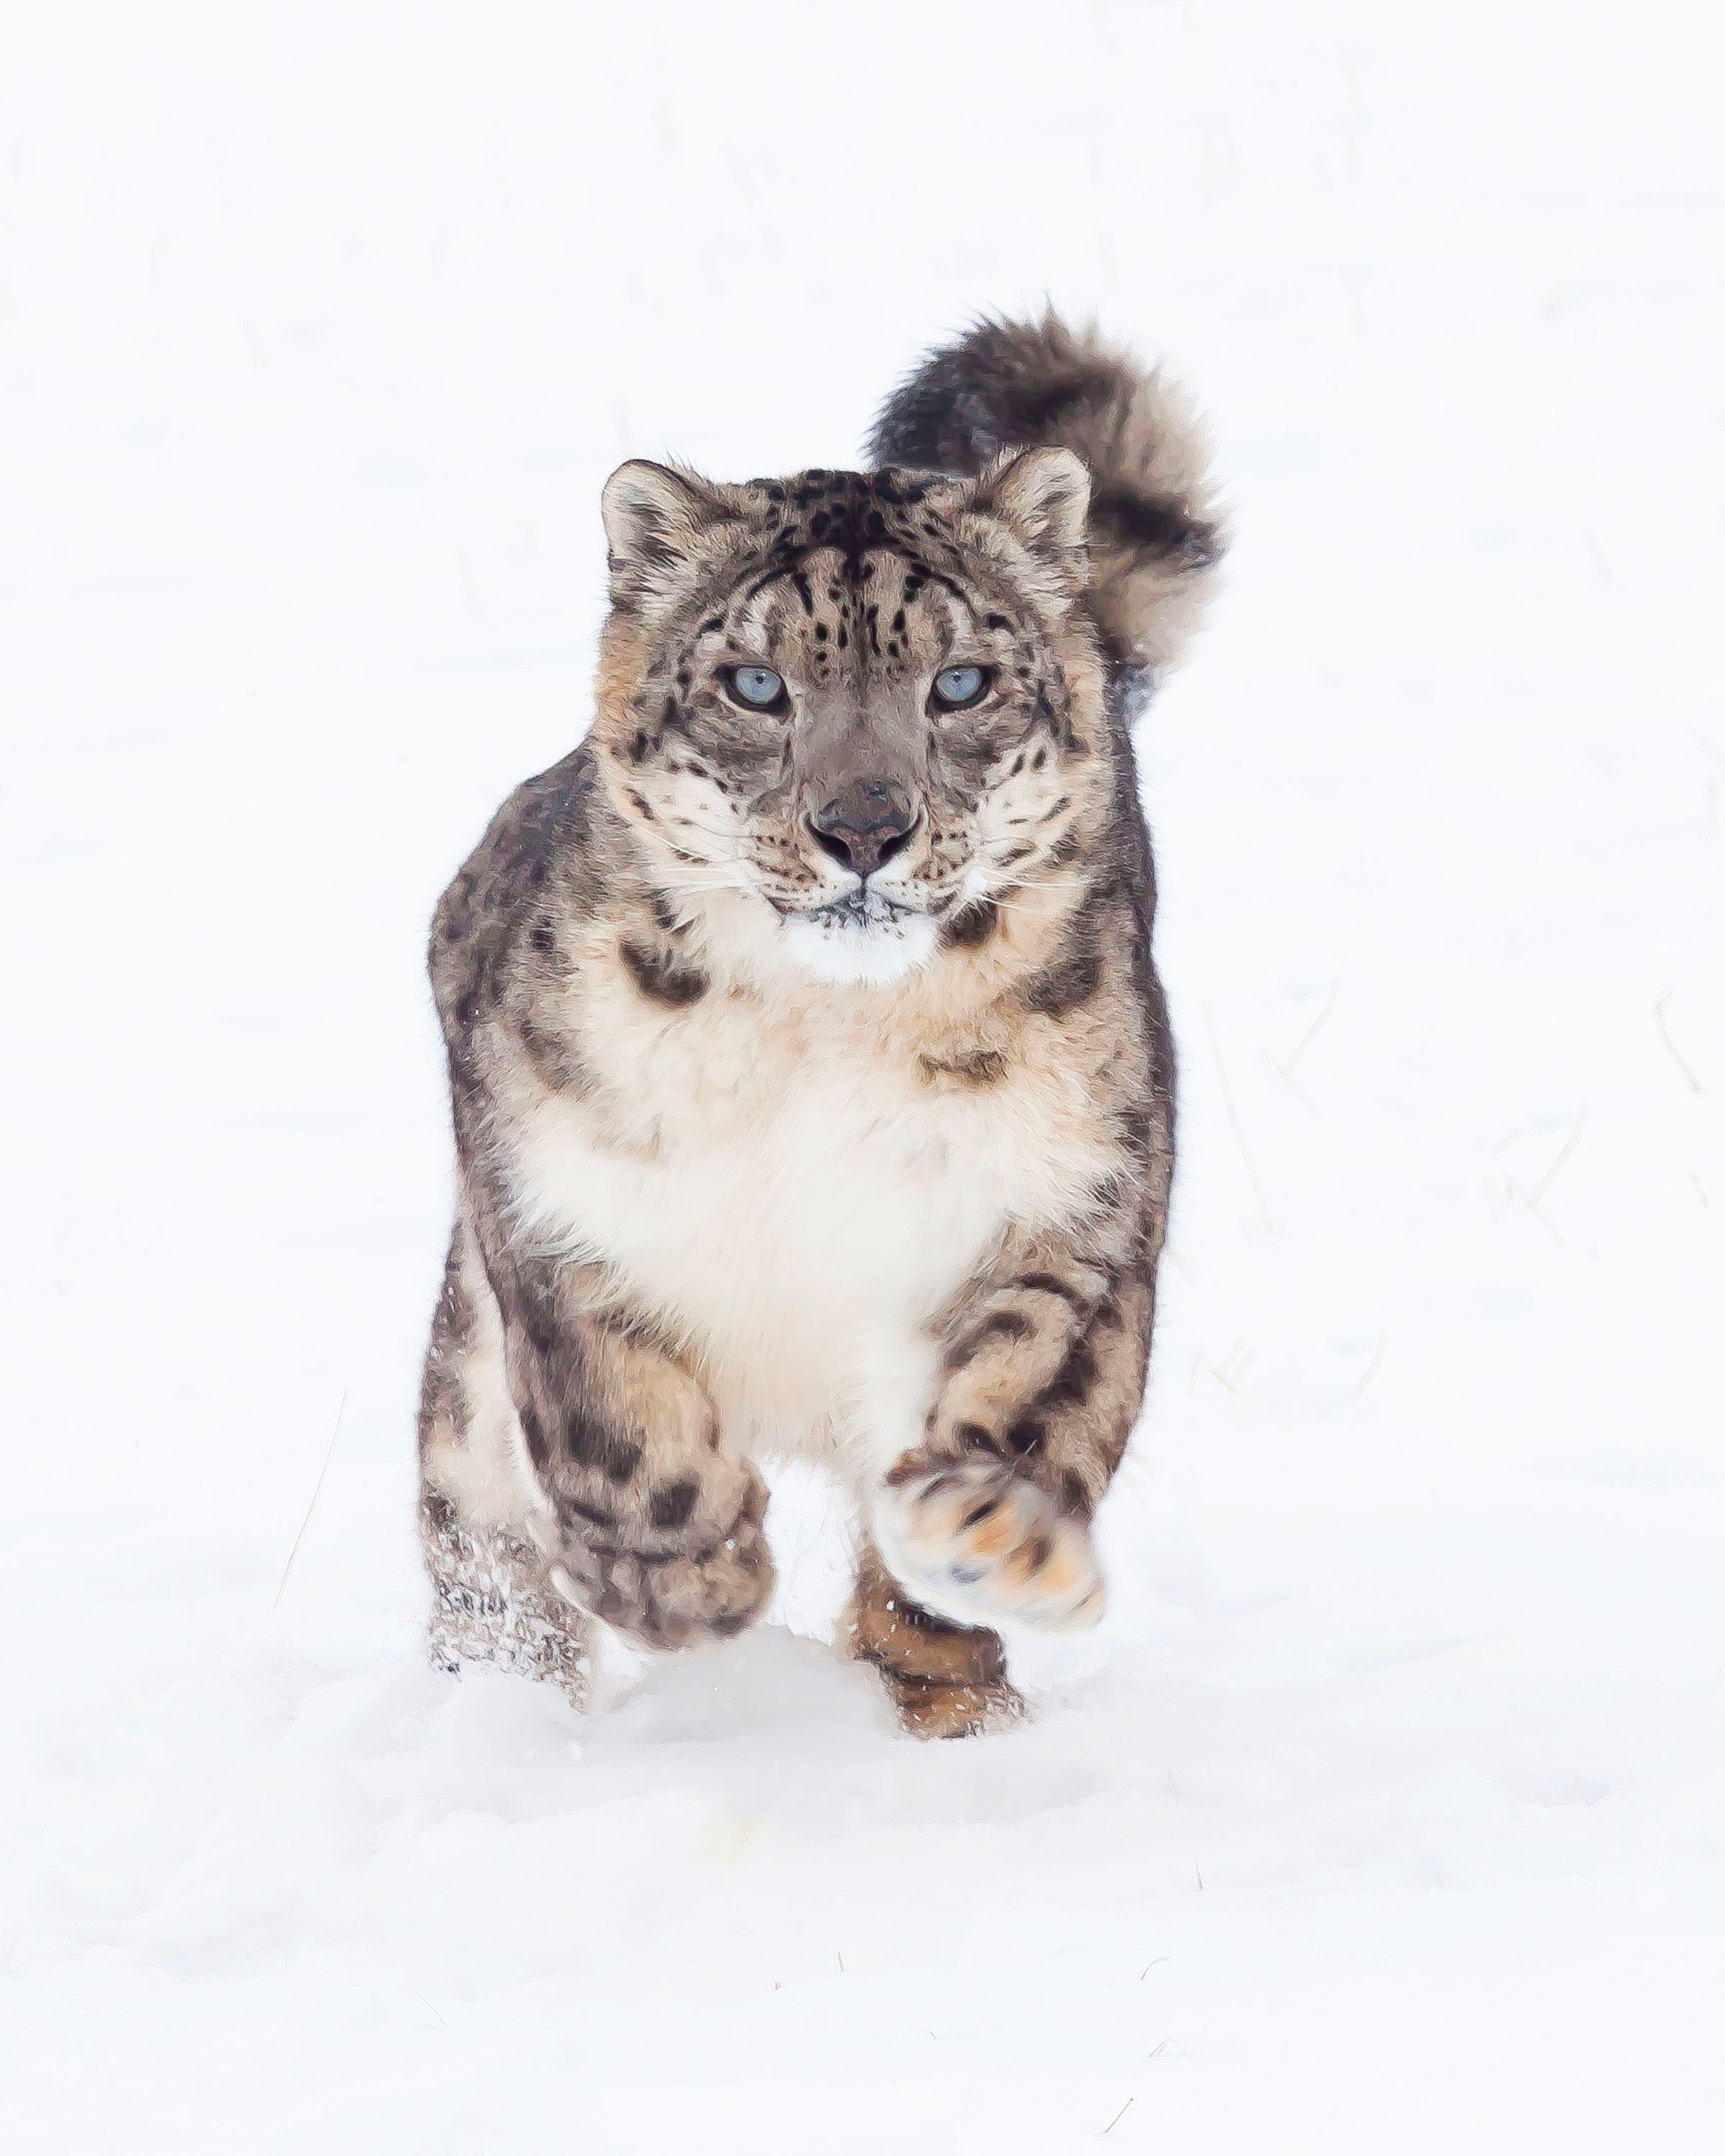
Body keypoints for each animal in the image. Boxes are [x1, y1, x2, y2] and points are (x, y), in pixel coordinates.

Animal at [417, 312, 1225, 1738]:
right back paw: (503, 1709)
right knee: (480, 1539)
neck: (824, 1034)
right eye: (755, 682)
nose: (863, 828)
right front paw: (687, 1581)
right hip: (465, 1404)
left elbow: (1034, 1389)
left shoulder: (1070, 1202)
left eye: (960, 682)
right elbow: (601, 1415)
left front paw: (990, 1536)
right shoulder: (546, 1193)